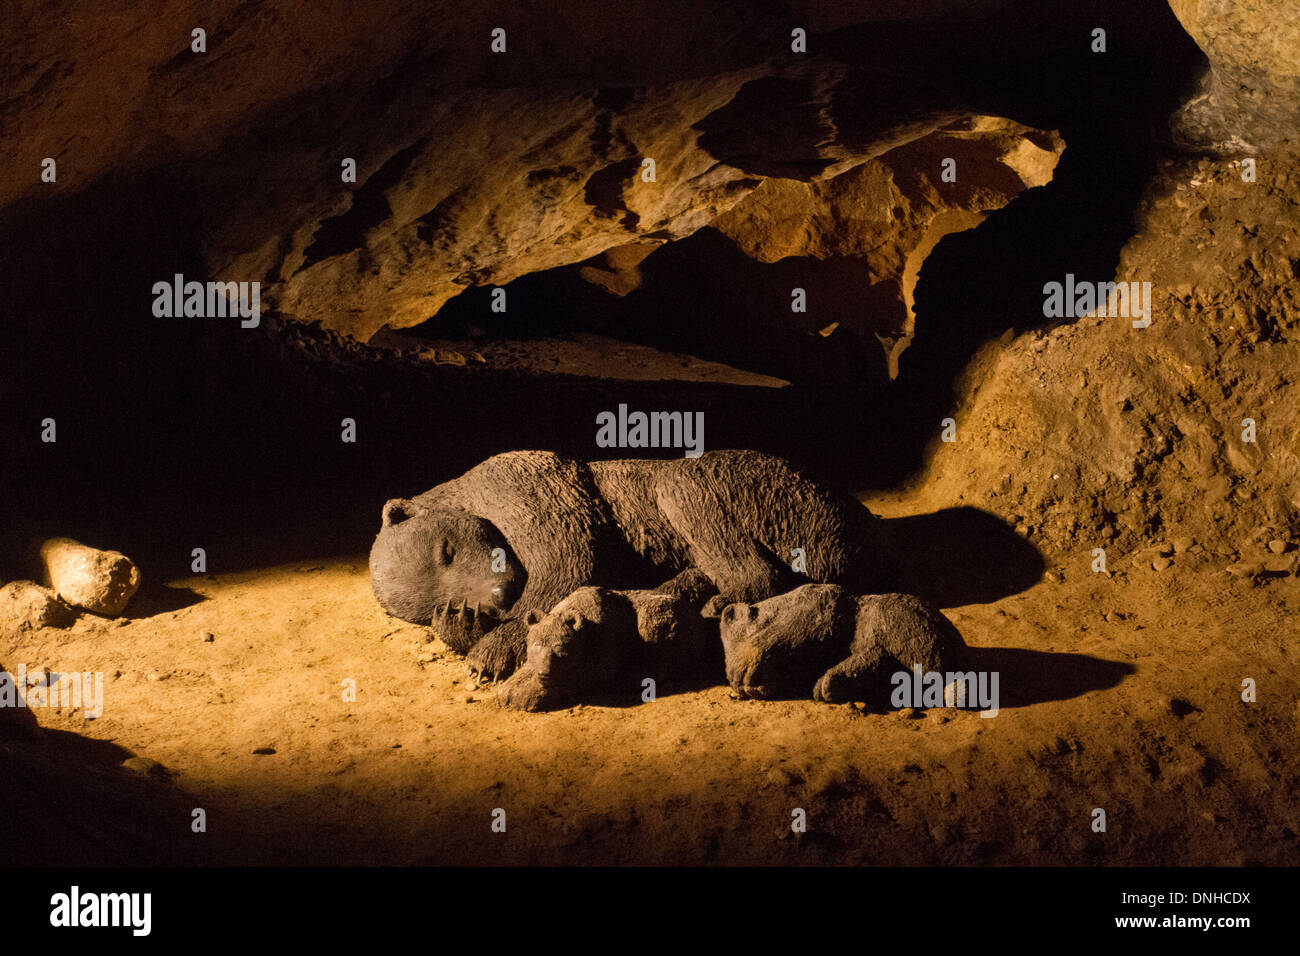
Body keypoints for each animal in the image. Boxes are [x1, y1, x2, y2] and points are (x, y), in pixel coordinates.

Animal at [370, 450, 888, 681]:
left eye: (446, 551)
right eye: (433, 597)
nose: (497, 597)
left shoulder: (526, 484)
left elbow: (571, 561)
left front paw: (494, 647)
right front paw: (462, 621)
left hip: (766, 491)